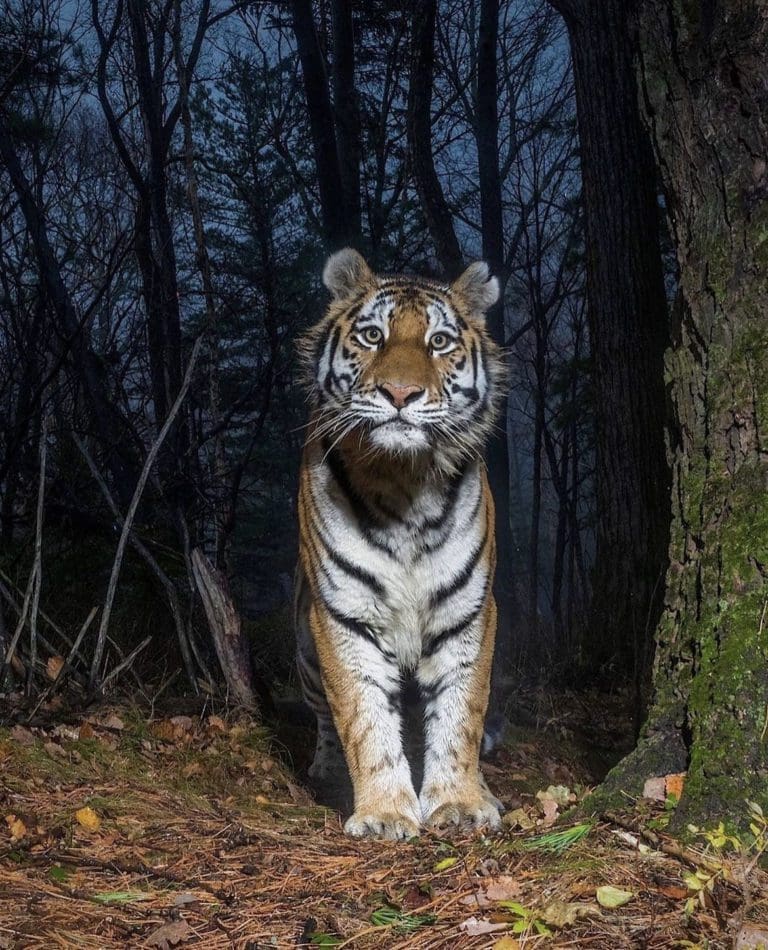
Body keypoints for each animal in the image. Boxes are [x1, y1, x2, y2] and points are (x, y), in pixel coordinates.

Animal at [294, 247, 505, 840]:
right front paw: (385, 812)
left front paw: (459, 802)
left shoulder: (469, 610)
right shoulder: (342, 615)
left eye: (439, 341)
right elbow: (362, 716)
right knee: (322, 714)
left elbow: (462, 712)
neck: (403, 480)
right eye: (372, 335)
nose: (401, 394)